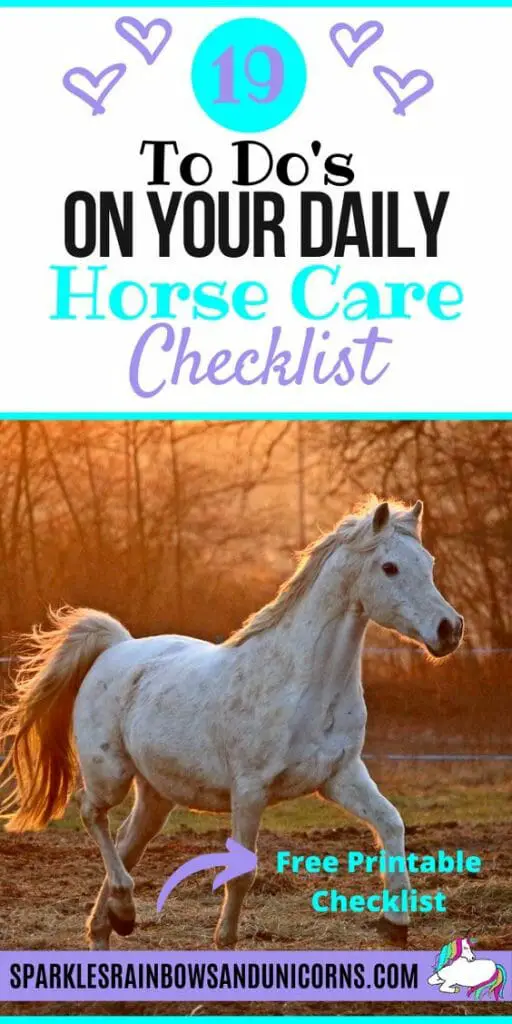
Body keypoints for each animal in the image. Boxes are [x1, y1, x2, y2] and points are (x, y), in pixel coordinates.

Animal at [0, 498, 463, 950]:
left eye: (428, 562)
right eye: (390, 567)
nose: (450, 629)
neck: (300, 685)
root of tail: (116, 648)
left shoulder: (340, 775)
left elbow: (391, 823)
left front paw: (395, 925)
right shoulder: (250, 790)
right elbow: (243, 874)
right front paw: (224, 941)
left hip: (156, 794)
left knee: (129, 838)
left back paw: (113, 921)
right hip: (109, 774)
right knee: (91, 813)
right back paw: (124, 907)